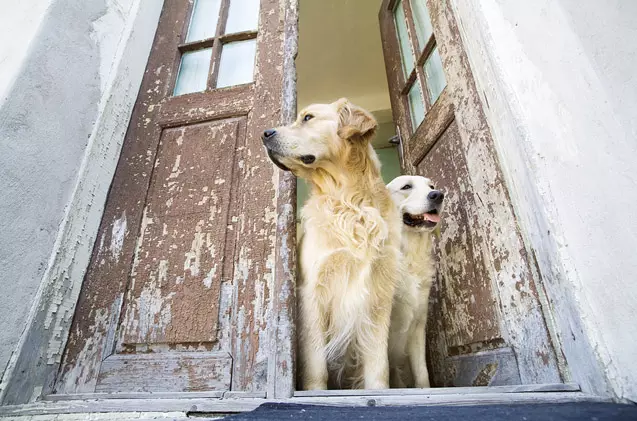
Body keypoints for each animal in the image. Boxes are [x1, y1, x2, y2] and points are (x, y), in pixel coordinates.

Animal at [260, 97, 400, 388]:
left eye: (308, 117)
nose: (264, 134)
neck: (349, 200)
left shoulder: (380, 294)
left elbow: (378, 365)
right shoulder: (313, 289)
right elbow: (316, 364)